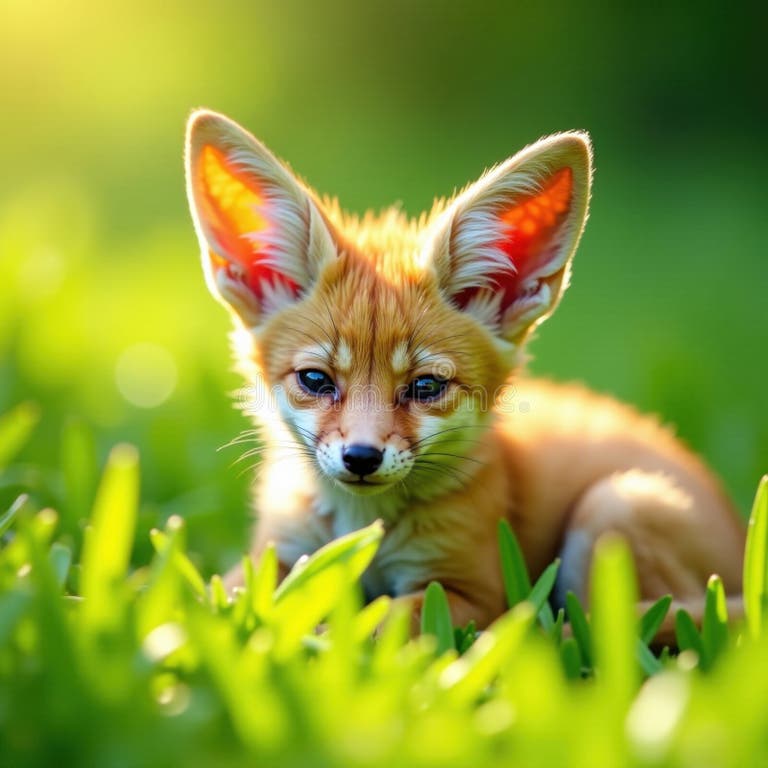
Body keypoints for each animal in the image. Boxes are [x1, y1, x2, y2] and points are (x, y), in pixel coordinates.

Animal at [184, 109, 746, 635]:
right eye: (315, 380)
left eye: (426, 386)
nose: (361, 457)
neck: (363, 528)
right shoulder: (276, 553)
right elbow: (220, 594)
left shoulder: (468, 591)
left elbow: (388, 619)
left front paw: (320, 637)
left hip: (613, 506)